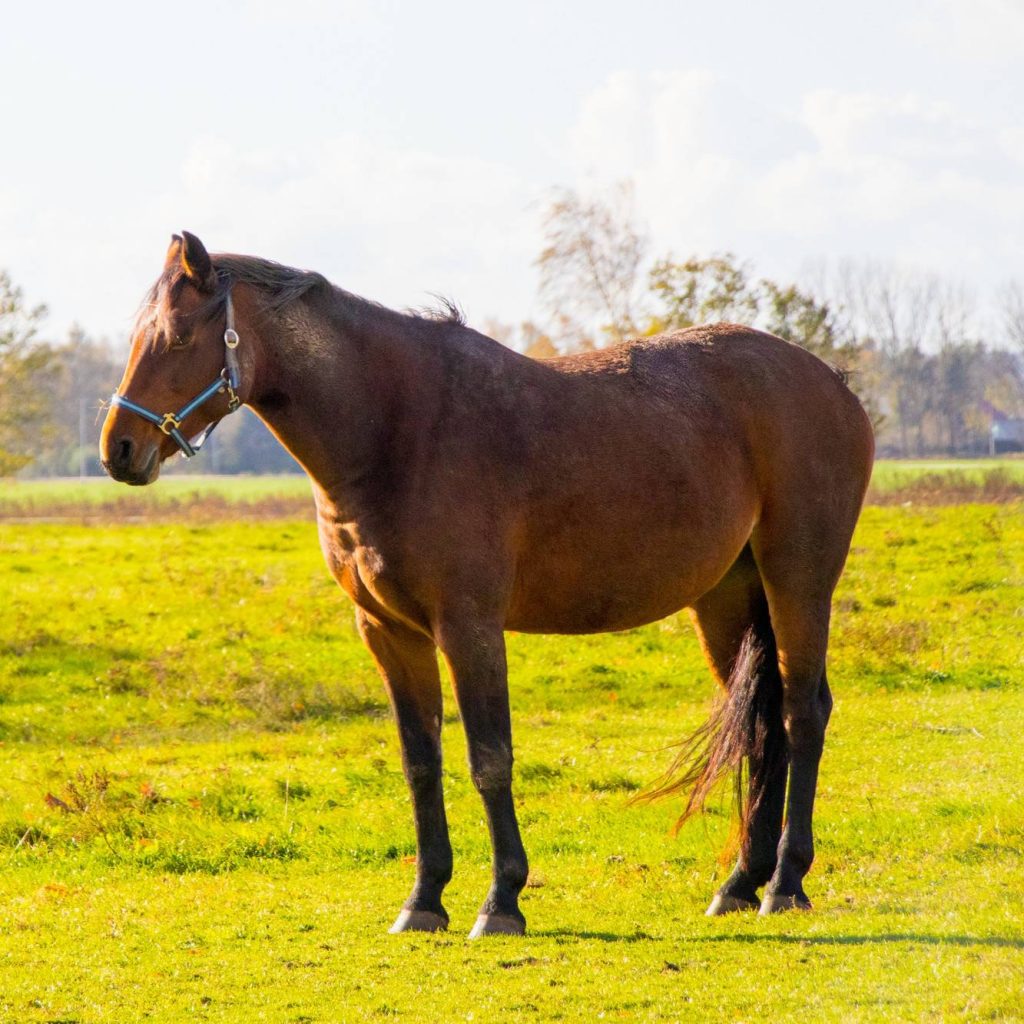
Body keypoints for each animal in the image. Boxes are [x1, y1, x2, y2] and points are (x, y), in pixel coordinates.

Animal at [100, 232, 874, 937]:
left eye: (175, 337)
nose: (119, 449)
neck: (399, 430)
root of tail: (834, 383)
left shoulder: (469, 628)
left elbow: (489, 760)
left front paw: (501, 902)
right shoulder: (389, 633)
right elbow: (421, 764)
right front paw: (423, 901)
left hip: (798, 581)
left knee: (801, 713)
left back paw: (786, 884)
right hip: (726, 600)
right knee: (760, 724)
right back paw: (741, 882)